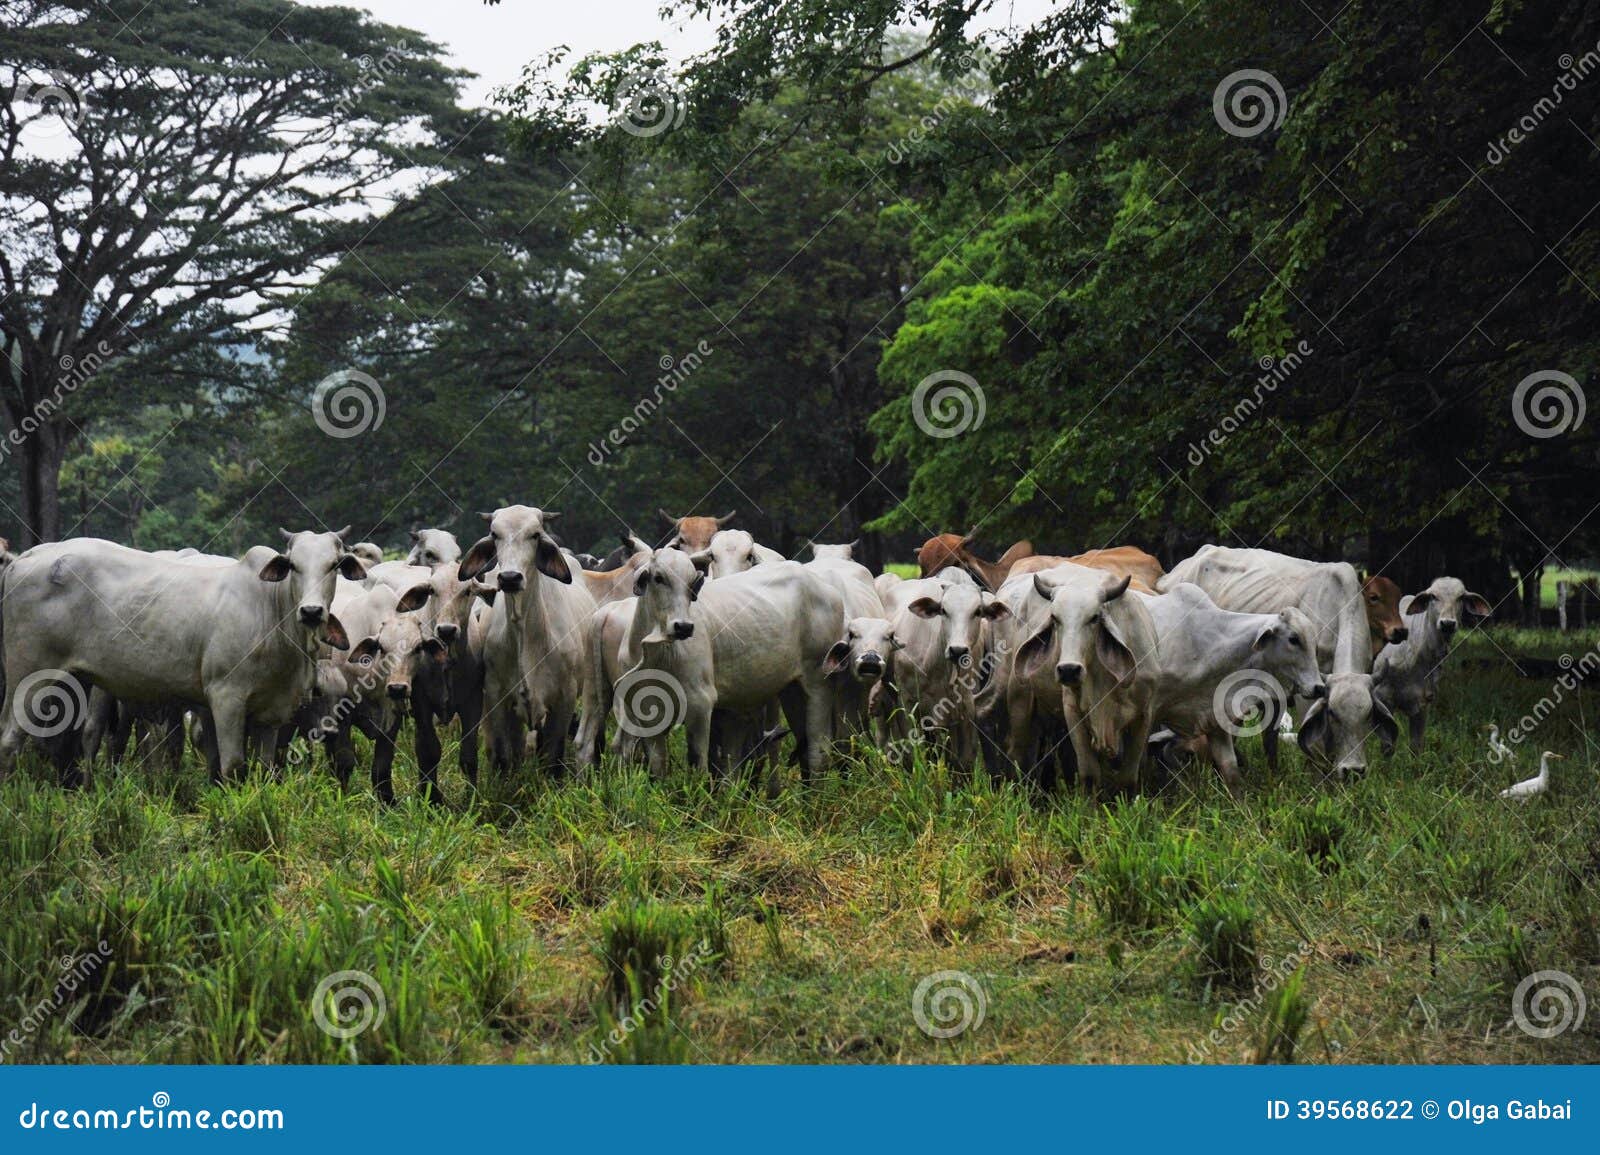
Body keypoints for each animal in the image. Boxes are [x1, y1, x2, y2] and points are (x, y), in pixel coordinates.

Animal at [0, 529, 365, 785]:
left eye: (334, 565)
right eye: (293, 566)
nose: (312, 611)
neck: (271, 612)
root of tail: (24, 558)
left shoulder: (272, 713)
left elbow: (265, 768)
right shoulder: (226, 698)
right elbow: (232, 766)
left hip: (68, 681)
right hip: (28, 678)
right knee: (10, 740)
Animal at [459, 505, 595, 773]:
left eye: (535, 534)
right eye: (495, 534)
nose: (510, 578)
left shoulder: (564, 698)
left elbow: (553, 757)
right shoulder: (496, 696)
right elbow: (503, 756)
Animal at [612, 549, 843, 790]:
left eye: (692, 584)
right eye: (658, 578)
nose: (684, 627)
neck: (655, 652)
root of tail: (824, 587)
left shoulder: (700, 703)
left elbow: (698, 764)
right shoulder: (648, 712)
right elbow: (657, 768)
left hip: (818, 682)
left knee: (818, 752)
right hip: (792, 690)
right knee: (803, 749)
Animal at [1134, 583, 1325, 793]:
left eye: (1315, 645)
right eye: (1293, 639)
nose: (1319, 688)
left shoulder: (1214, 715)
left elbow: (1230, 769)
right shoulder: (1147, 715)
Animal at [1373, 576, 1490, 750]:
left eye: (1461, 597)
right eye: (1433, 596)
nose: (1447, 624)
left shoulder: (1423, 702)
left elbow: (1416, 745)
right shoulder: (1383, 698)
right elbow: (1388, 746)